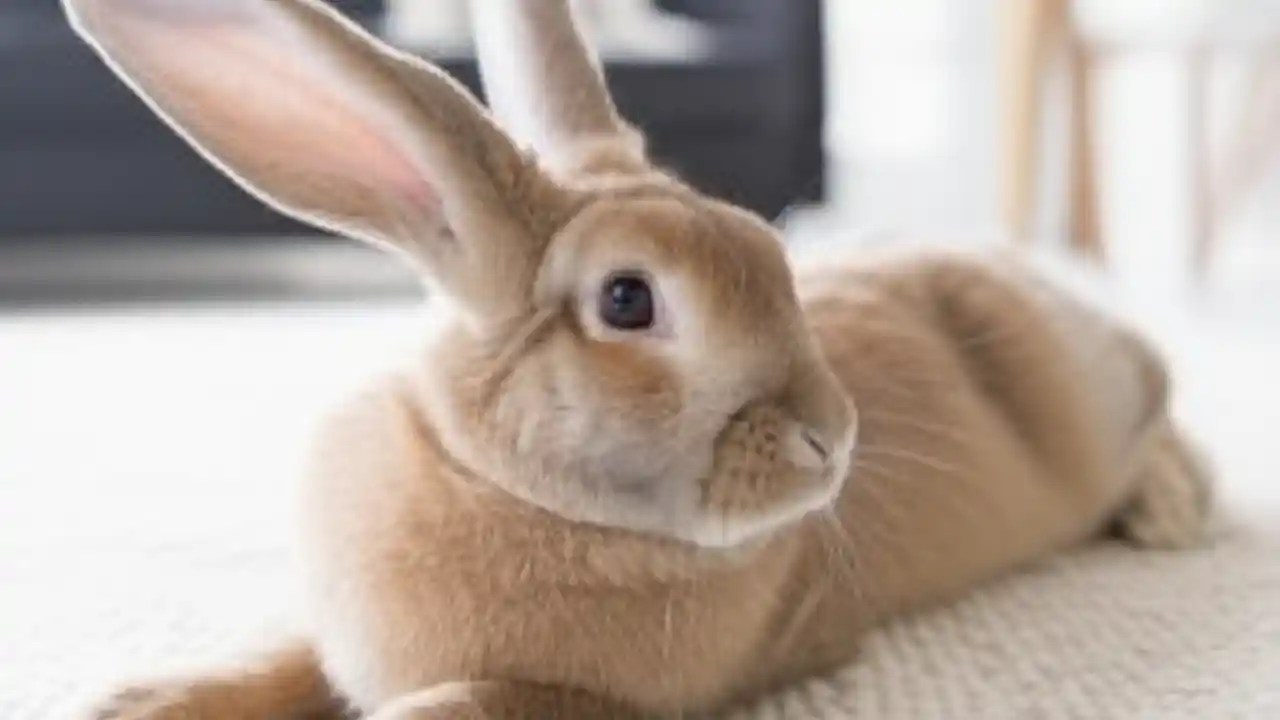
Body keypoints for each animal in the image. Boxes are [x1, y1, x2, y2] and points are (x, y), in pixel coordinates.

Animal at [64, 0, 1213, 718]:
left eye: (773, 257)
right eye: (627, 300)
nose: (831, 441)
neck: (495, 484)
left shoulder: (588, 699)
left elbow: (453, 706)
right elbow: (280, 659)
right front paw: (133, 702)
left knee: (1167, 424)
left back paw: (1169, 515)